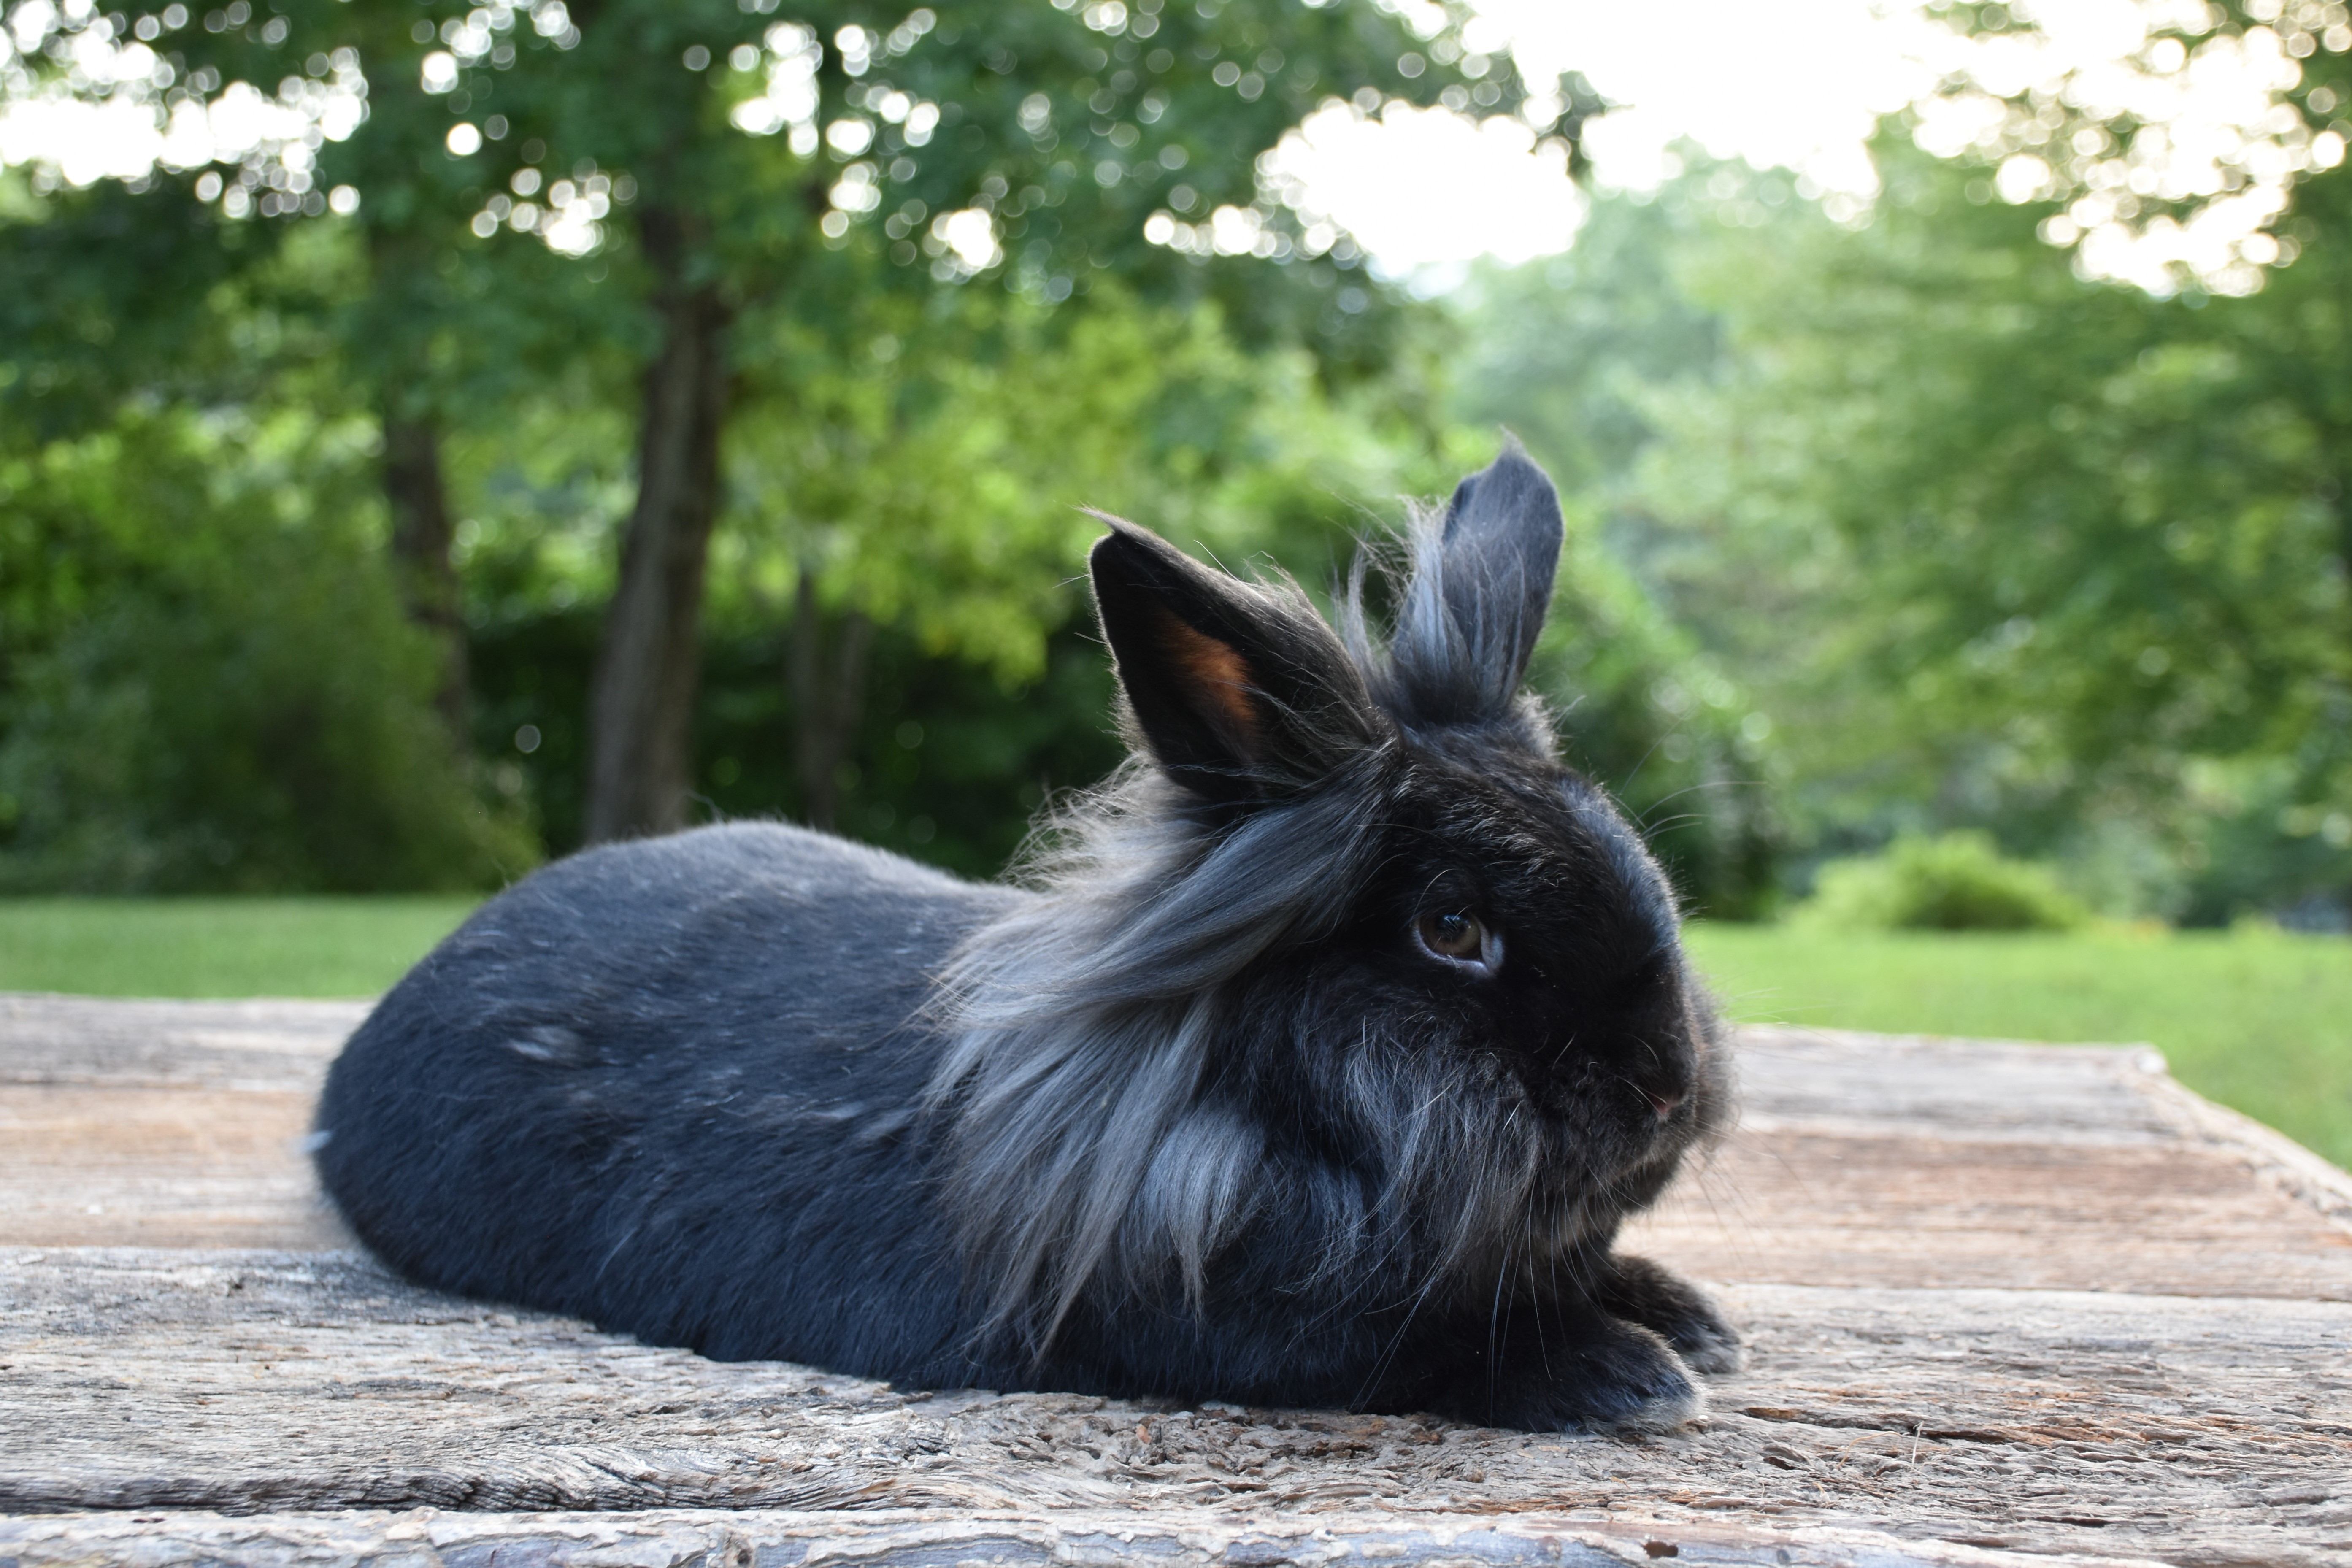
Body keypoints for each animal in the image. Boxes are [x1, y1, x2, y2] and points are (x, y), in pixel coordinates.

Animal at [312, 439, 1739, 1435]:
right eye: (1451, 927)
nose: (1665, 1087)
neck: (1238, 1109)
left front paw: (1686, 1314)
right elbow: (1423, 1350)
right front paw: (1628, 1371)